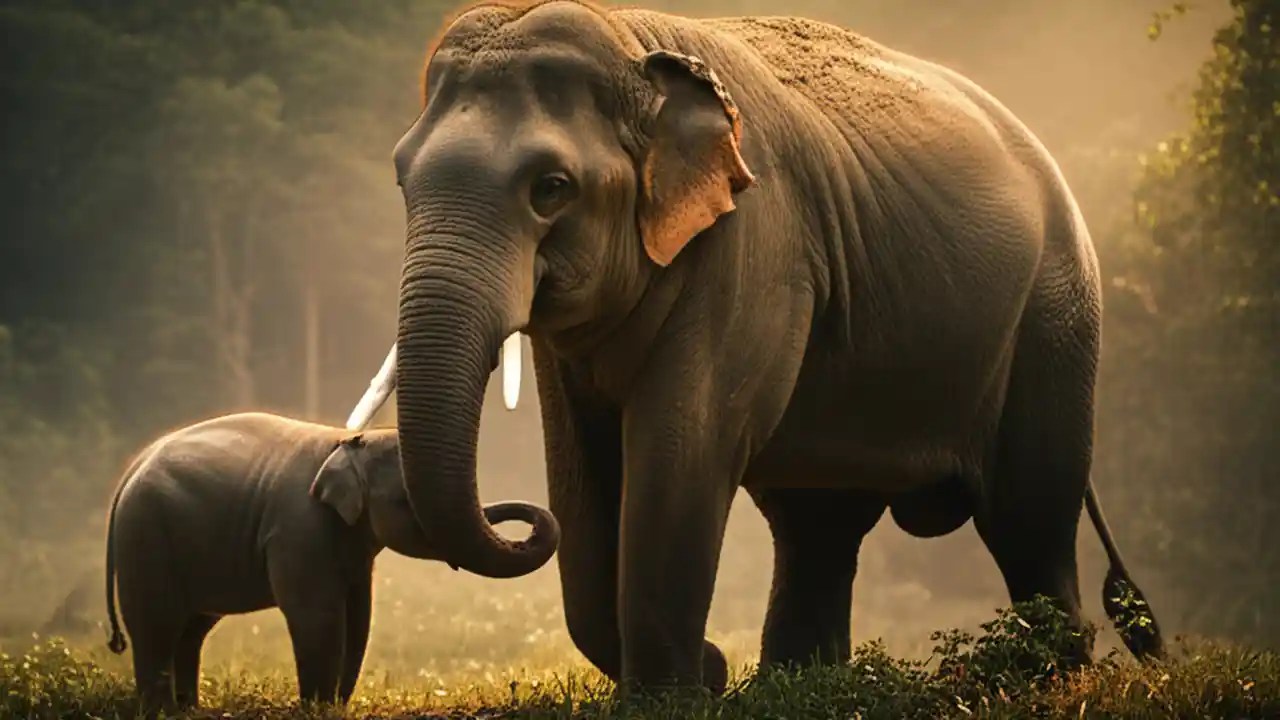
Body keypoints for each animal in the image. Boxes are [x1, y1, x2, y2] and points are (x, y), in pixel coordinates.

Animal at [102, 411, 558, 711]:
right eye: (409, 501)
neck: (347, 440)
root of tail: (126, 477)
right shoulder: (299, 529)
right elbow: (318, 616)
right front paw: (317, 708)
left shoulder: (352, 543)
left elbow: (359, 615)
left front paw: (334, 705)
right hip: (145, 540)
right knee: (157, 627)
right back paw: (161, 712)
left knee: (191, 629)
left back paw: (187, 709)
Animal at [363, 0, 1165, 695]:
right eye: (401, 178)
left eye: (552, 187)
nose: (717, 662)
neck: (630, 42)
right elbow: (581, 473)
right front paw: (706, 677)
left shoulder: (755, 245)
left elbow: (682, 447)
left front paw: (679, 693)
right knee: (819, 524)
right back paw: (795, 685)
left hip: (1053, 318)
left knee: (1028, 517)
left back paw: (1044, 681)